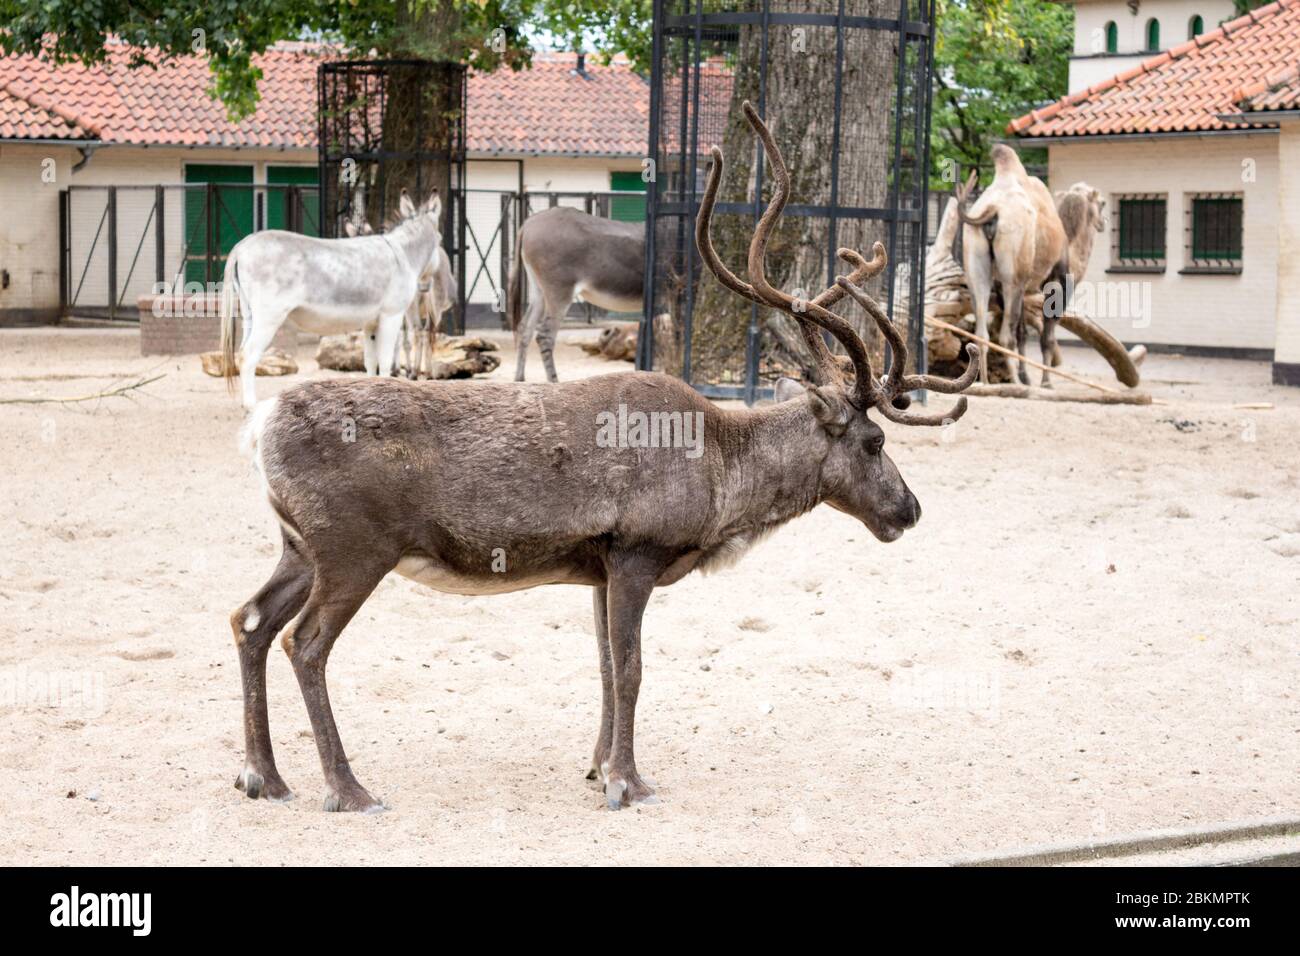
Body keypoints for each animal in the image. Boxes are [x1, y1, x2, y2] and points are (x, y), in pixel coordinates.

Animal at [220, 188, 446, 408]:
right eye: (441, 240)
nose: (426, 288)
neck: (402, 255)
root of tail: (243, 244)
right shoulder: (391, 315)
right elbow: (385, 361)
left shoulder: (370, 324)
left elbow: (370, 362)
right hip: (270, 316)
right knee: (248, 355)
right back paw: (251, 406)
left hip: (249, 314)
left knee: (240, 352)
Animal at [507, 205, 645, 383]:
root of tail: (529, 222)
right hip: (559, 291)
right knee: (545, 335)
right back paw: (554, 382)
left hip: (538, 291)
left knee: (524, 328)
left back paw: (519, 378)